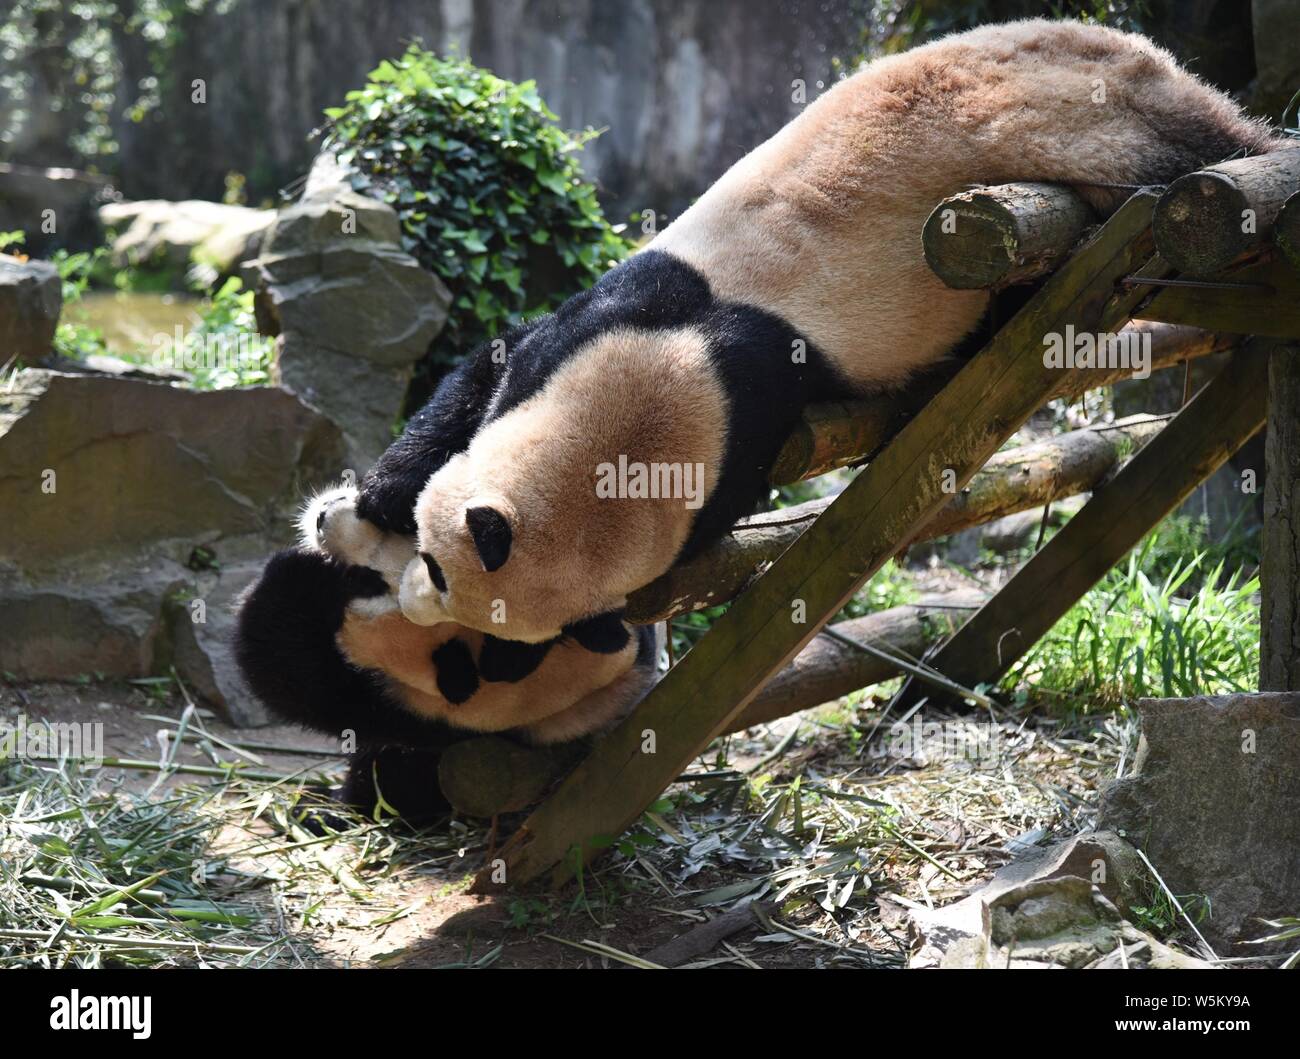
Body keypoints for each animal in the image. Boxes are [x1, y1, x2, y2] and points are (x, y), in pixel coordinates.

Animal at [233, 481, 661, 820]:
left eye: (369, 581)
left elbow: (298, 681)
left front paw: (302, 574)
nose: (324, 514)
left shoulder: (419, 714)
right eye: (416, 531)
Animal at [354, 19, 1280, 644]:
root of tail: (1140, 59)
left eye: (441, 578)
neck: (680, 367)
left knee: (1200, 144)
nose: (411, 599)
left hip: (1104, 138)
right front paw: (378, 491)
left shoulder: (740, 420)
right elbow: (492, 361)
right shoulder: (619, 312)